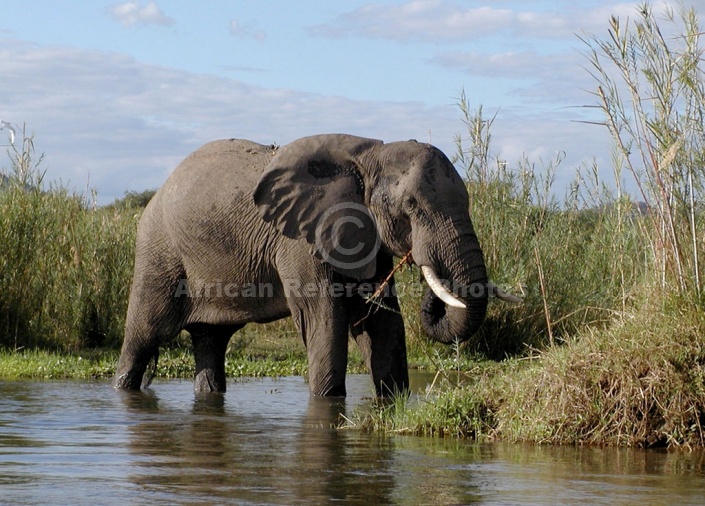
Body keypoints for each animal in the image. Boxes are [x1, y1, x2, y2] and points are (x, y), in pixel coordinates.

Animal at [114, 134, 516, 397]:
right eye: (411, 206)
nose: (422, 263)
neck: (370, 154)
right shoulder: (299, 242)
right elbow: (324, 316)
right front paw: (328, 402)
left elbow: (381, 321)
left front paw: (394, 400)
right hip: (158, 251)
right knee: (143, 335)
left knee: (211, 340)